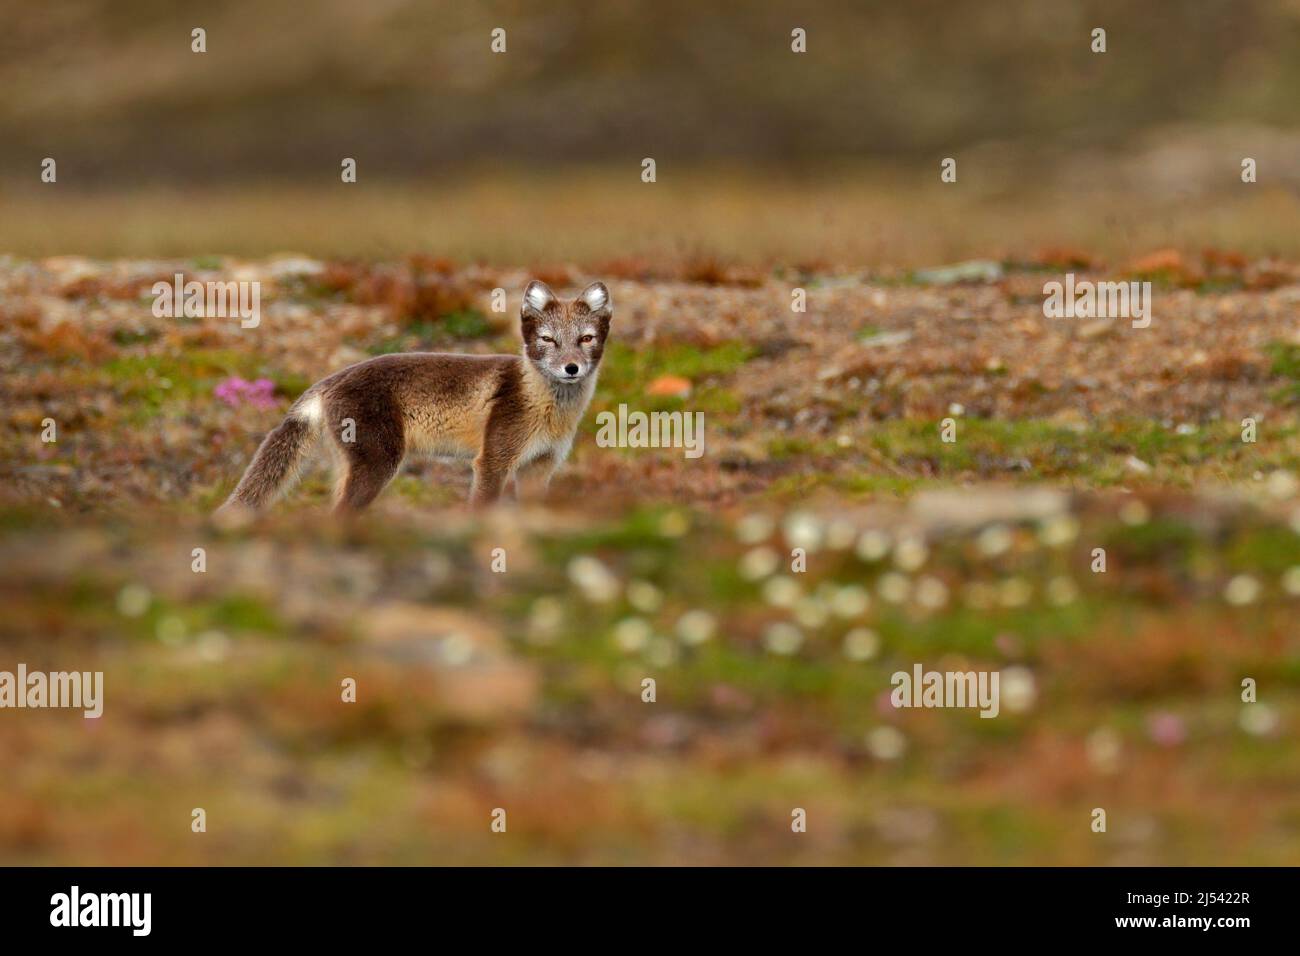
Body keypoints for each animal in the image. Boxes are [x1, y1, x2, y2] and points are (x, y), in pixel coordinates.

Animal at [217, 279, 612, 514]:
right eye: (548, 340)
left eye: (586, 339)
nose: (571, 368)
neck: (549, 410)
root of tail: (329, 381)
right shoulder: (493, 461)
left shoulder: (540, 467)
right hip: (379, 463)